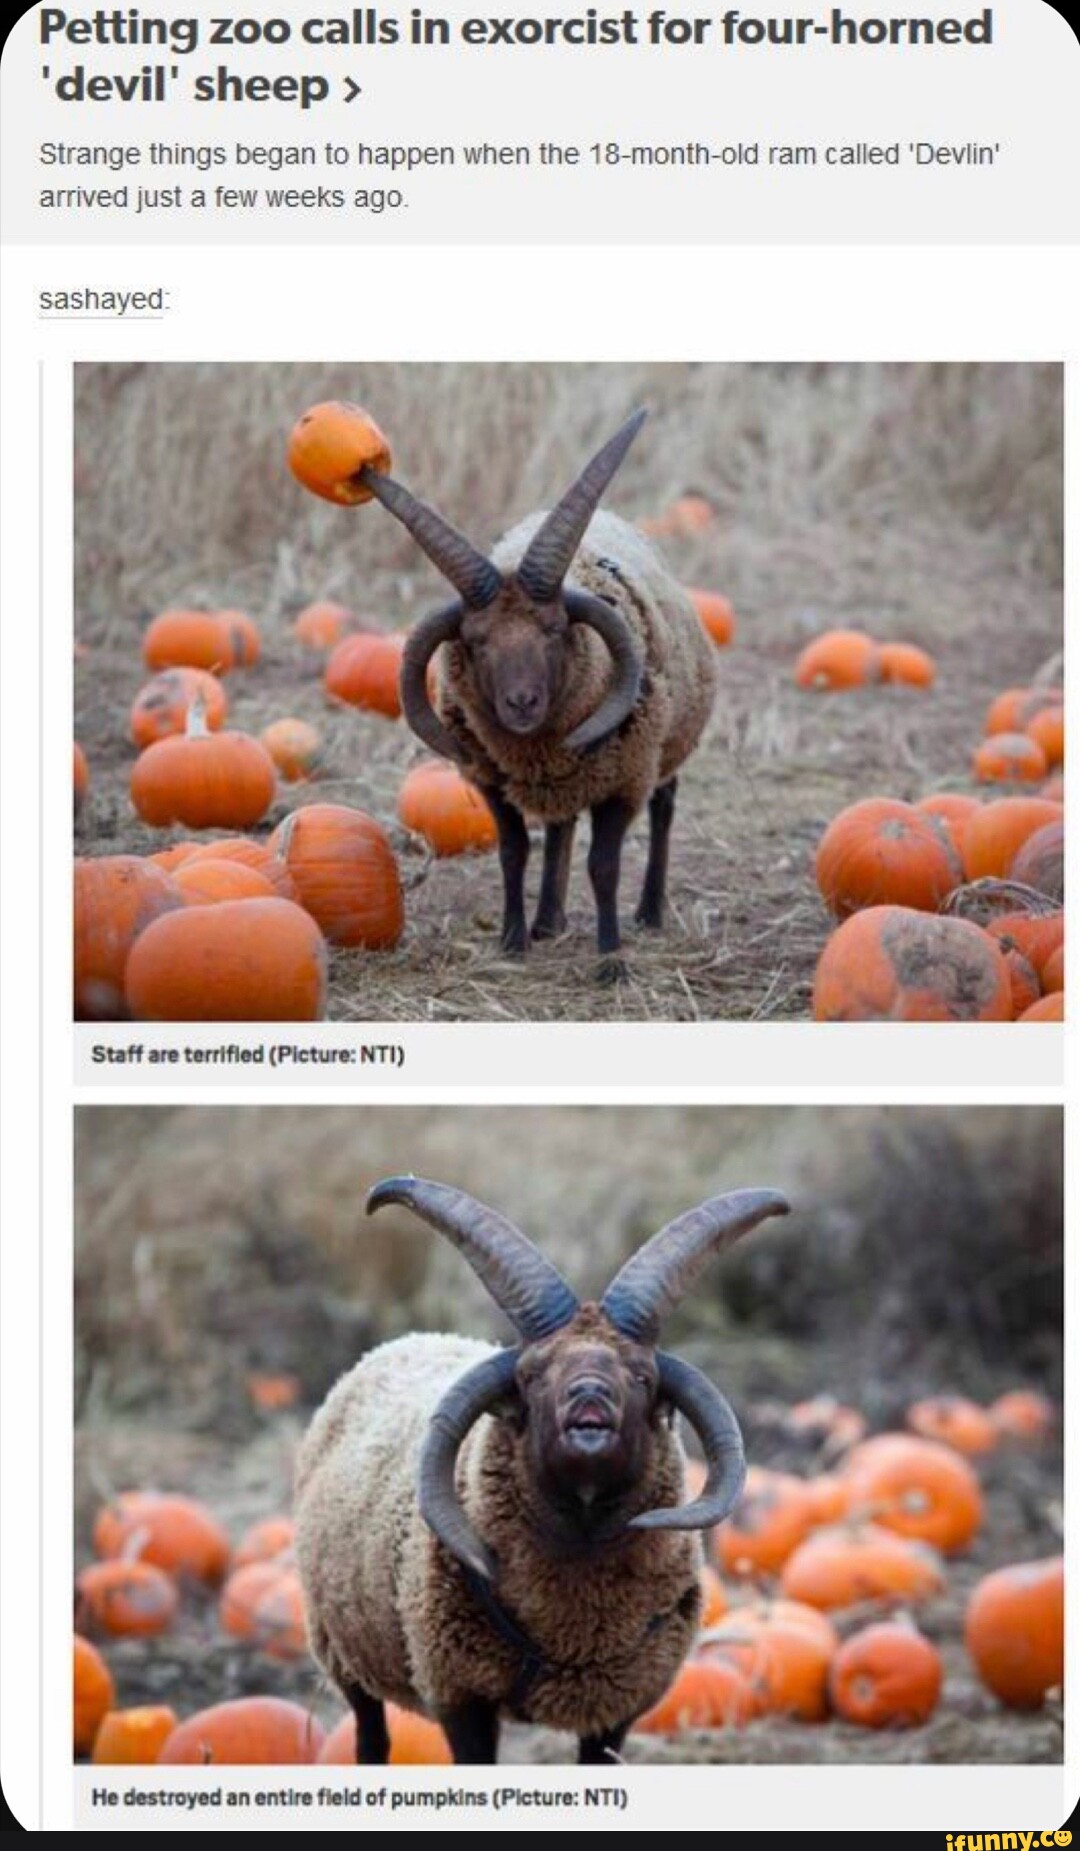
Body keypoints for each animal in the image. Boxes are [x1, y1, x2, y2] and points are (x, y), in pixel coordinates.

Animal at [294, 1175, 789, 1764]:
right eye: (532, 1374)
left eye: (642, 1375)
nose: (589, 1399)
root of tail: (401, 1341)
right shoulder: (461, 1695)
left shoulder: (614, 1707)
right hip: (341, 1652)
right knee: (370, 1735)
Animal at [355, 411, 717, 971]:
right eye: (476, 641)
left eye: (553, 629)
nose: (521, 703)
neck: (537, 748)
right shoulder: (491, 780)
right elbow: (515, 852)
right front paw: (513, 940)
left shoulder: (625, 779)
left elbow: (604, 864)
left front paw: (610, 957)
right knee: (561, 827)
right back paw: (548, 921)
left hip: (665, 743)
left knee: (664, 805)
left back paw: (649, 912)